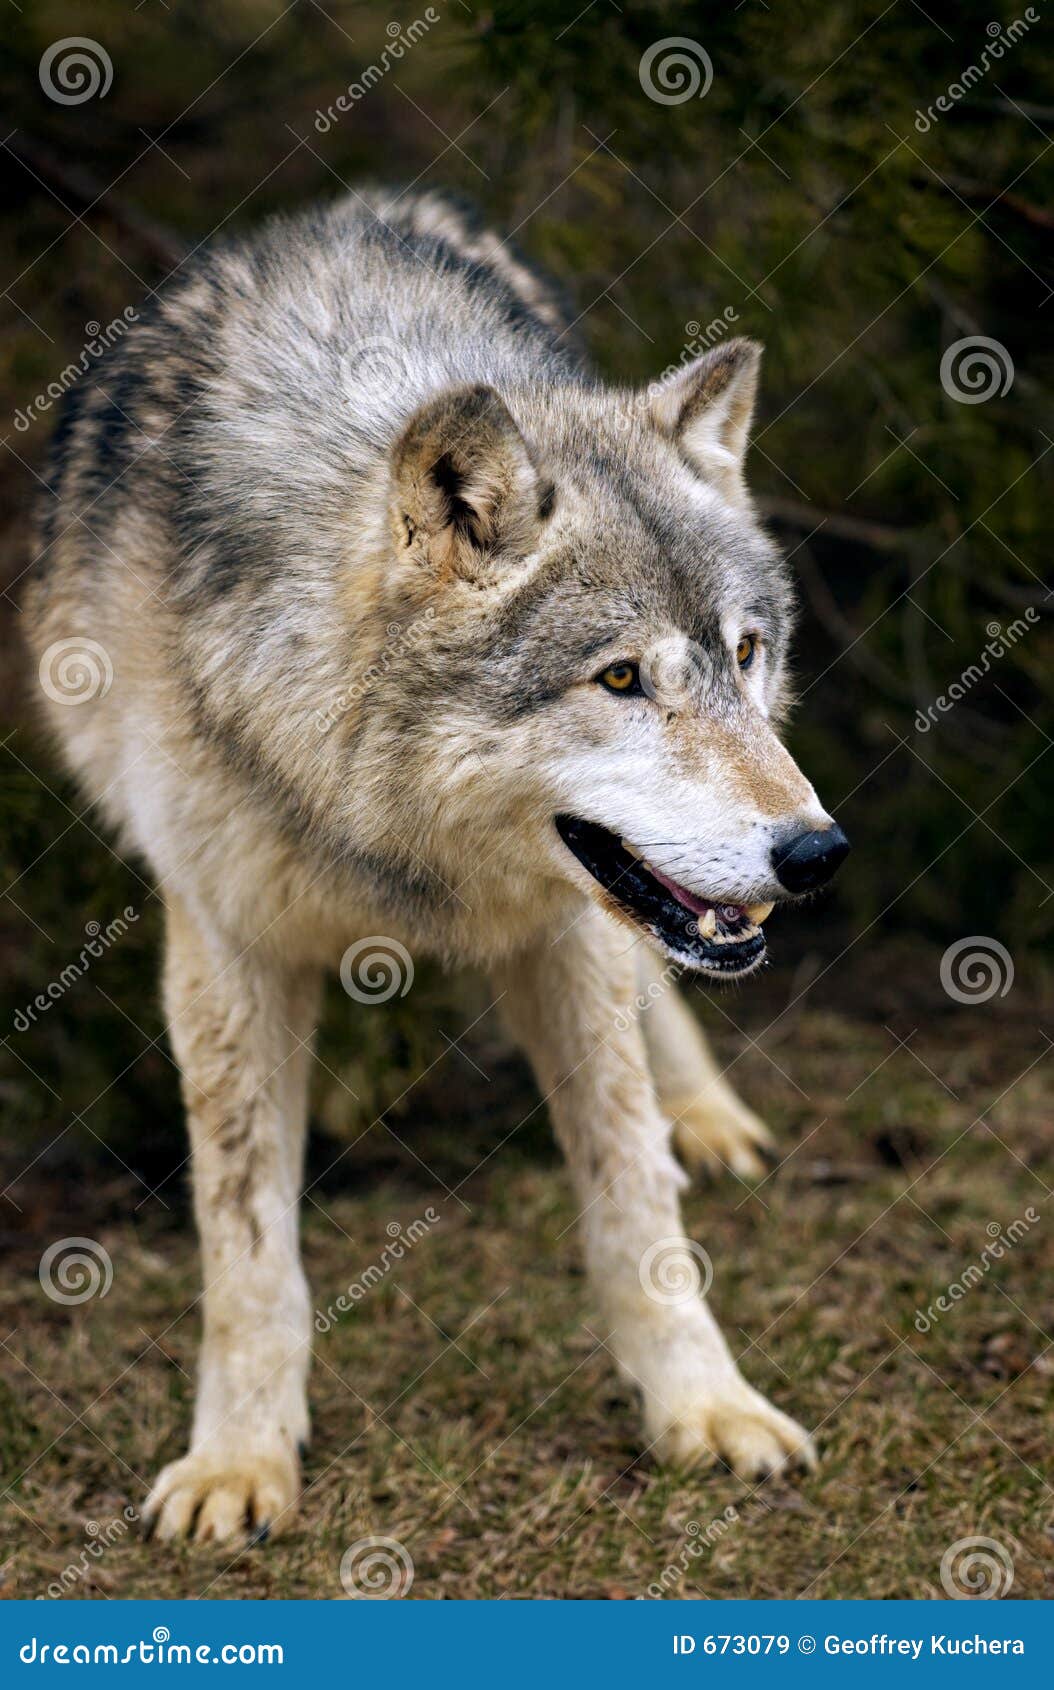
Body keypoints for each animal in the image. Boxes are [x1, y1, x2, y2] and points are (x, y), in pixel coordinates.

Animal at [25, 188, 849, 1544]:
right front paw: (239, 1462)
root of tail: (362, 200)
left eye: (743, 653)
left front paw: (704, 1407)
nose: (818, 851)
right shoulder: (225, 942)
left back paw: (707, 1119)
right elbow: (245, 1245)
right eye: (620, 677)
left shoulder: (564, 934)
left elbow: (633, 1201)